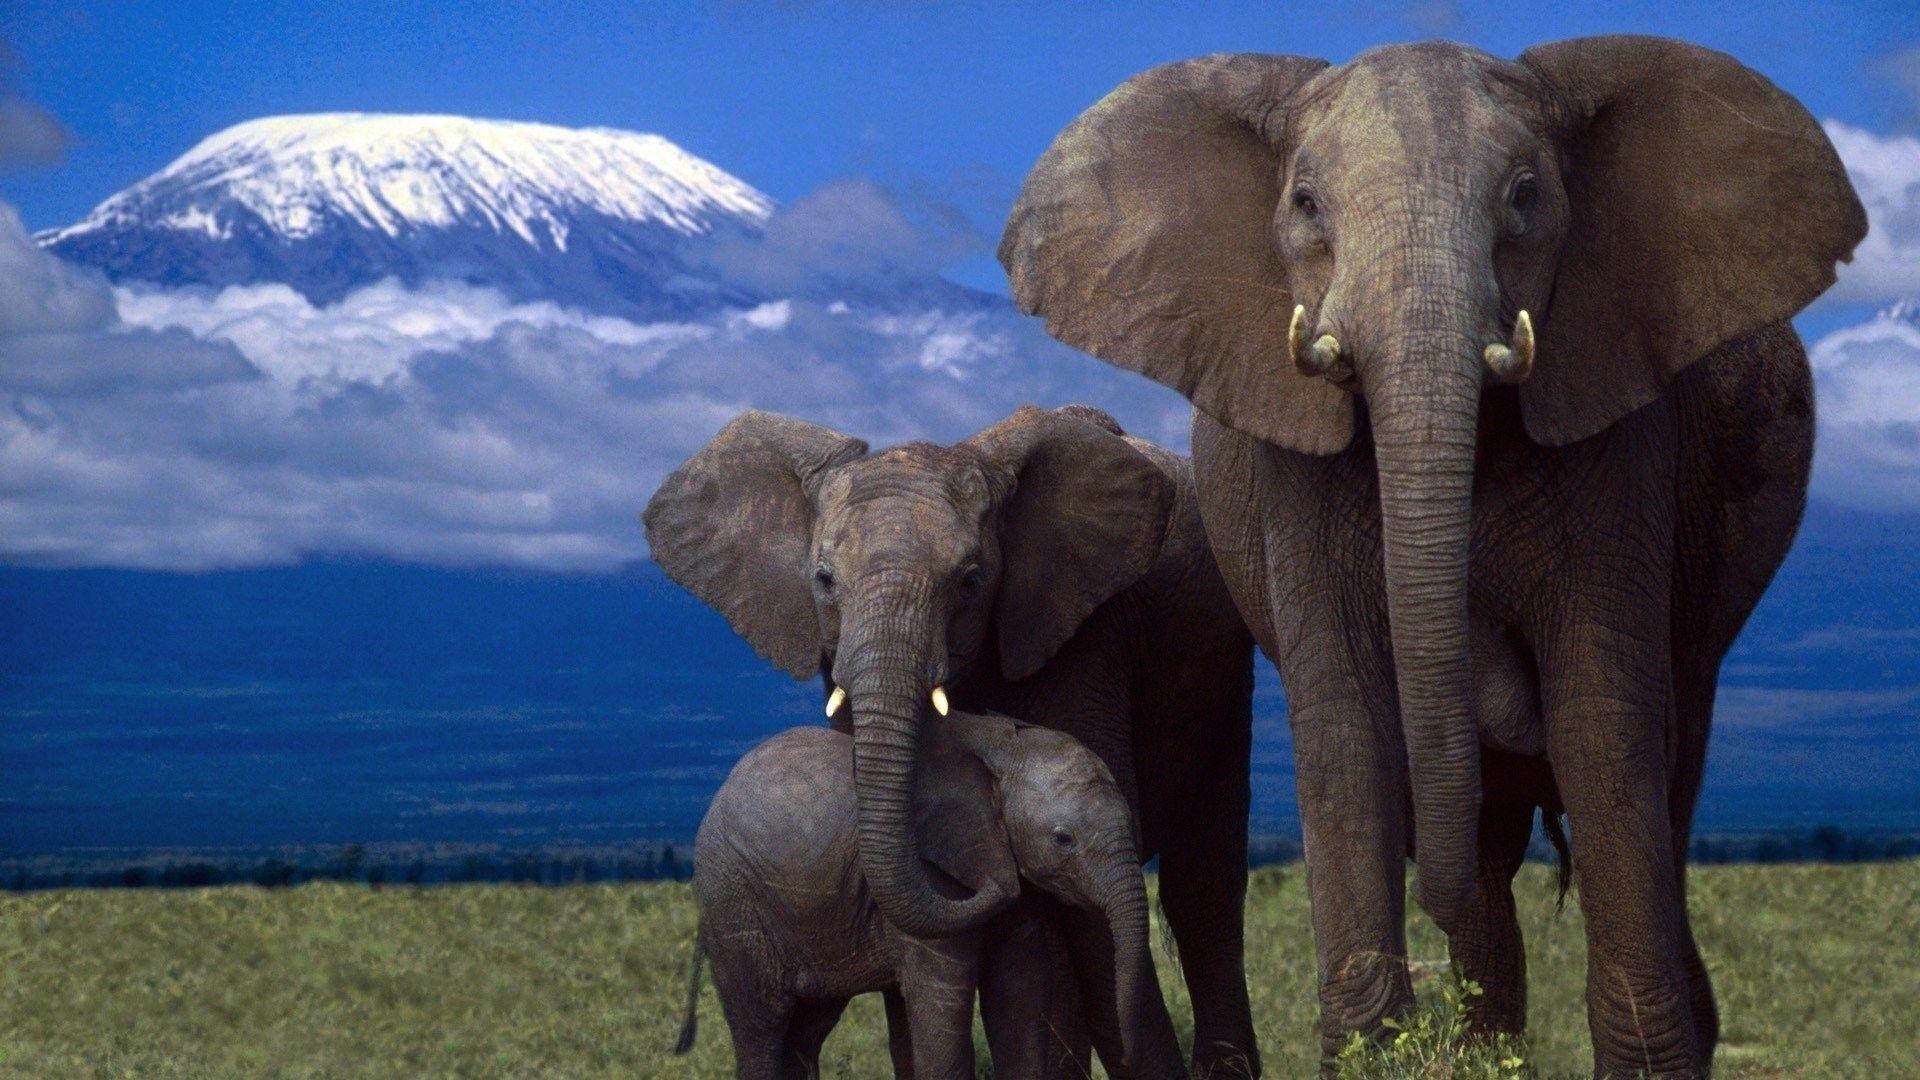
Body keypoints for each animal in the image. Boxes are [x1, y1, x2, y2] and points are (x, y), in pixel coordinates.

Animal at [675, 712, 1179, 1078]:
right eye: (1063, 839)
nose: (1128, 1057)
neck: (1005, 748)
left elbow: (1020, 994)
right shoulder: (934, 869)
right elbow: (942, 1001)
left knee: (806, 1029)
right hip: (731, 900)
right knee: (762, 1025)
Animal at [1000, 36, 1864, 1078]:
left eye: (1526, 196)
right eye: (1306, 205)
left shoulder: (1619, 436)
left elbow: (1601, 719)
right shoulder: (1296, 470)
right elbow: (1346, 723)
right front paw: (1379, 1045)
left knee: (1668, 765)